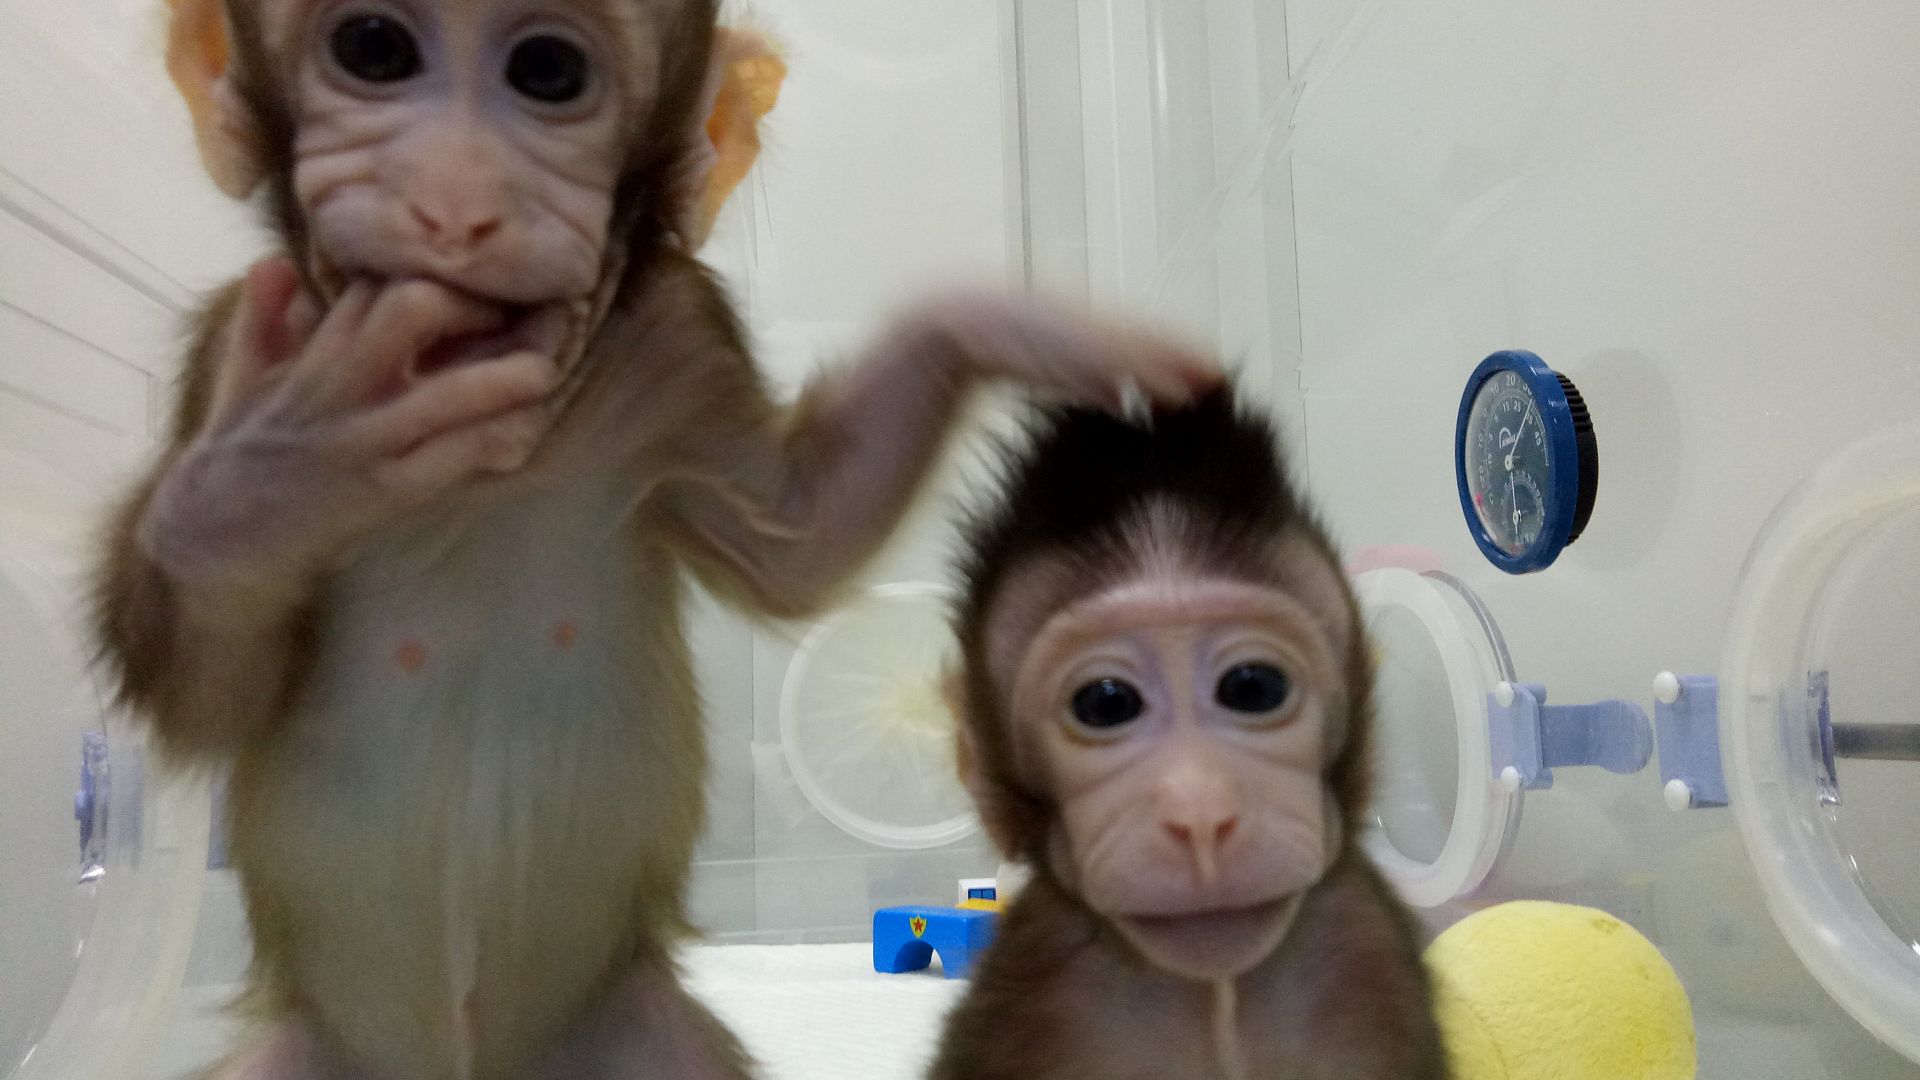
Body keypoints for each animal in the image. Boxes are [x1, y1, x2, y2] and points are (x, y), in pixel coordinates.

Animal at [94, 2, 1220, 1078]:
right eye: (373, 48)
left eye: (548, 72)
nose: (455, 201)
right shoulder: (234, 340)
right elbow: (214, 691)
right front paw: (263, 481)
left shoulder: (680, 336)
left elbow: (801, 533)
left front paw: (1015, 324)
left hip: (630, 1027)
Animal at [932, 387, 1445, 1080]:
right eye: (1106, 703)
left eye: (1253, 688)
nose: (1201, 814)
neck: (1217, 996)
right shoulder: (1026, 996)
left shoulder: (1369, 958)